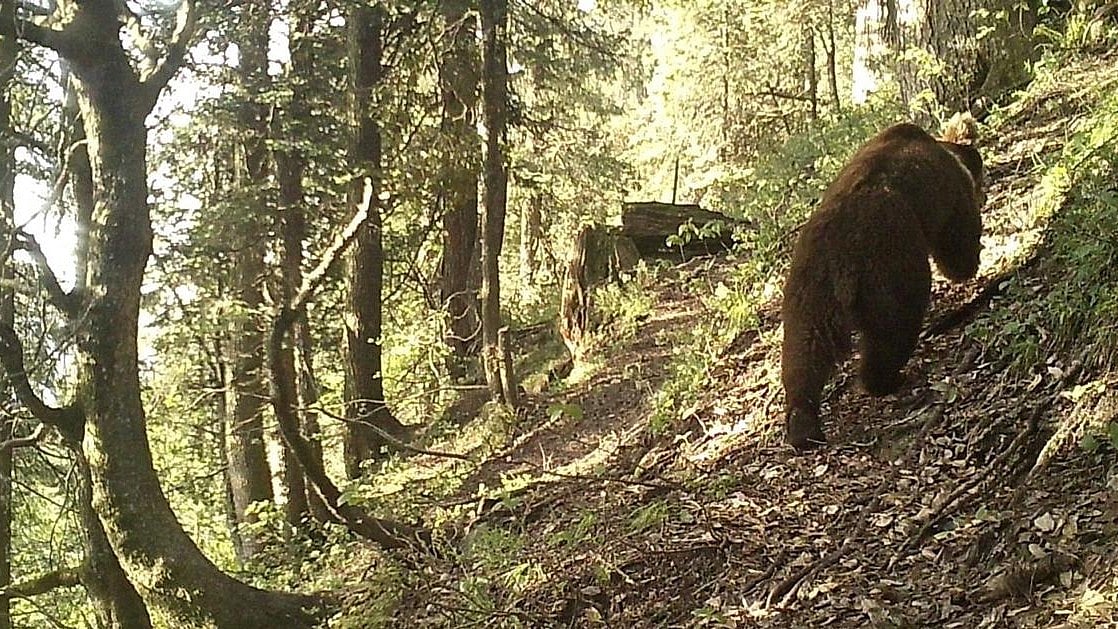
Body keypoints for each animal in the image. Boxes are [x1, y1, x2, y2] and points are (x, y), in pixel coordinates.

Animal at [781, 113, 985, 450]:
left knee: (804, 350)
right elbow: (957, 243)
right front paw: (973, 262)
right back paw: (886, 379)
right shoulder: (948, 195)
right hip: (888, 265)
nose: (984, 190)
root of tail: (839, 258)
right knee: (895, 328)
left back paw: (802, 426)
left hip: (807, 290)